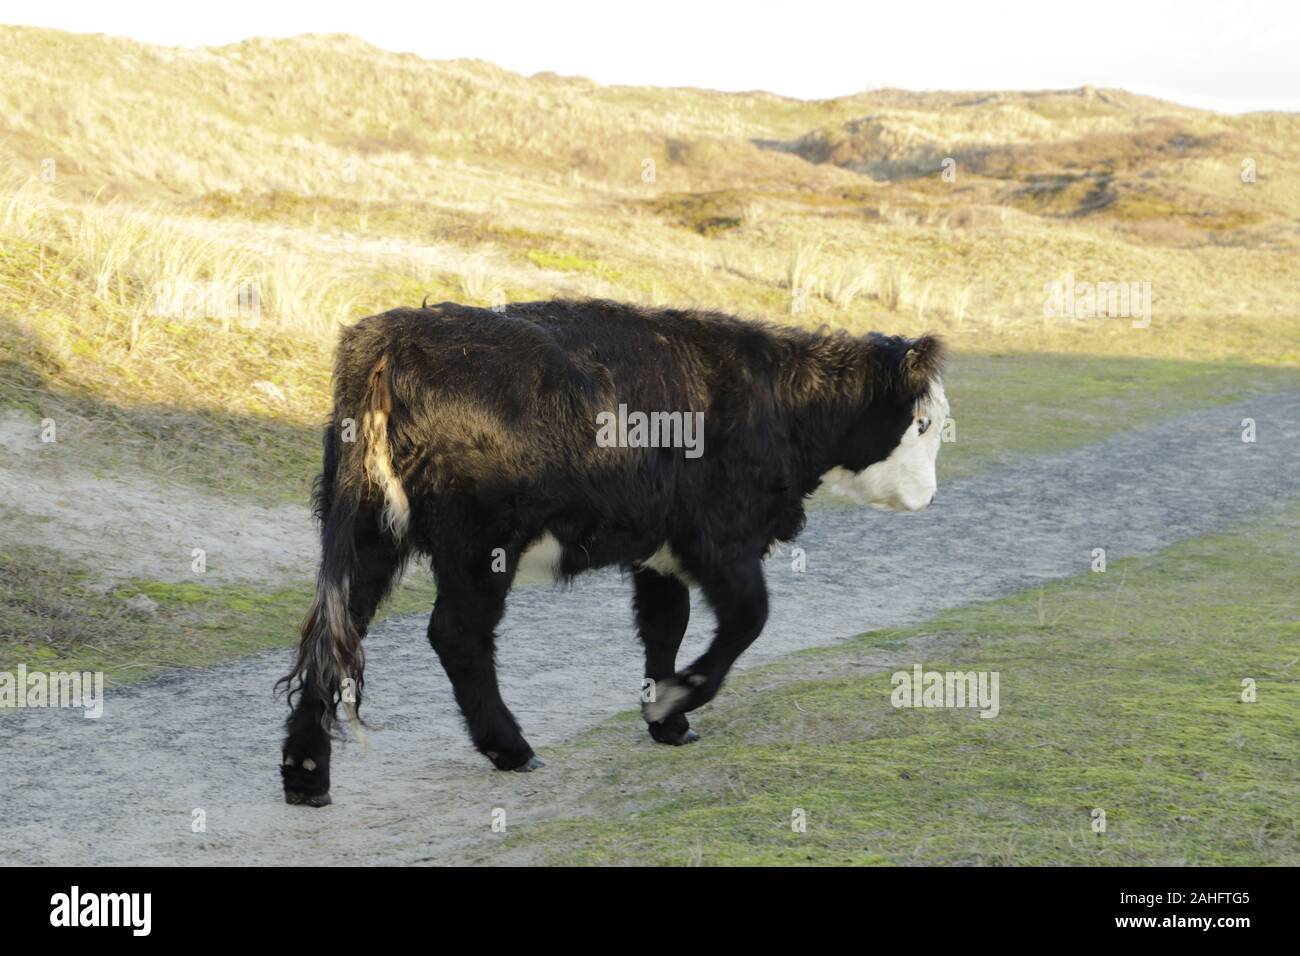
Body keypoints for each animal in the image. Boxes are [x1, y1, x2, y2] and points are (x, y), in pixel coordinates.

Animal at [279, 298, 948, 806]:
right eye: (921, 424)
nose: (932, 496)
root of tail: (395, 338)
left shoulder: (662, 555)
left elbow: (665, 629)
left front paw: (668, 721)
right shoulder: (721, 539)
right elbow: (747, 620)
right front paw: (677, 700)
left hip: (365, 532)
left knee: (335, 629)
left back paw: (306, 776)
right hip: (481, 544)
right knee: (456, 635)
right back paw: (511, 748)